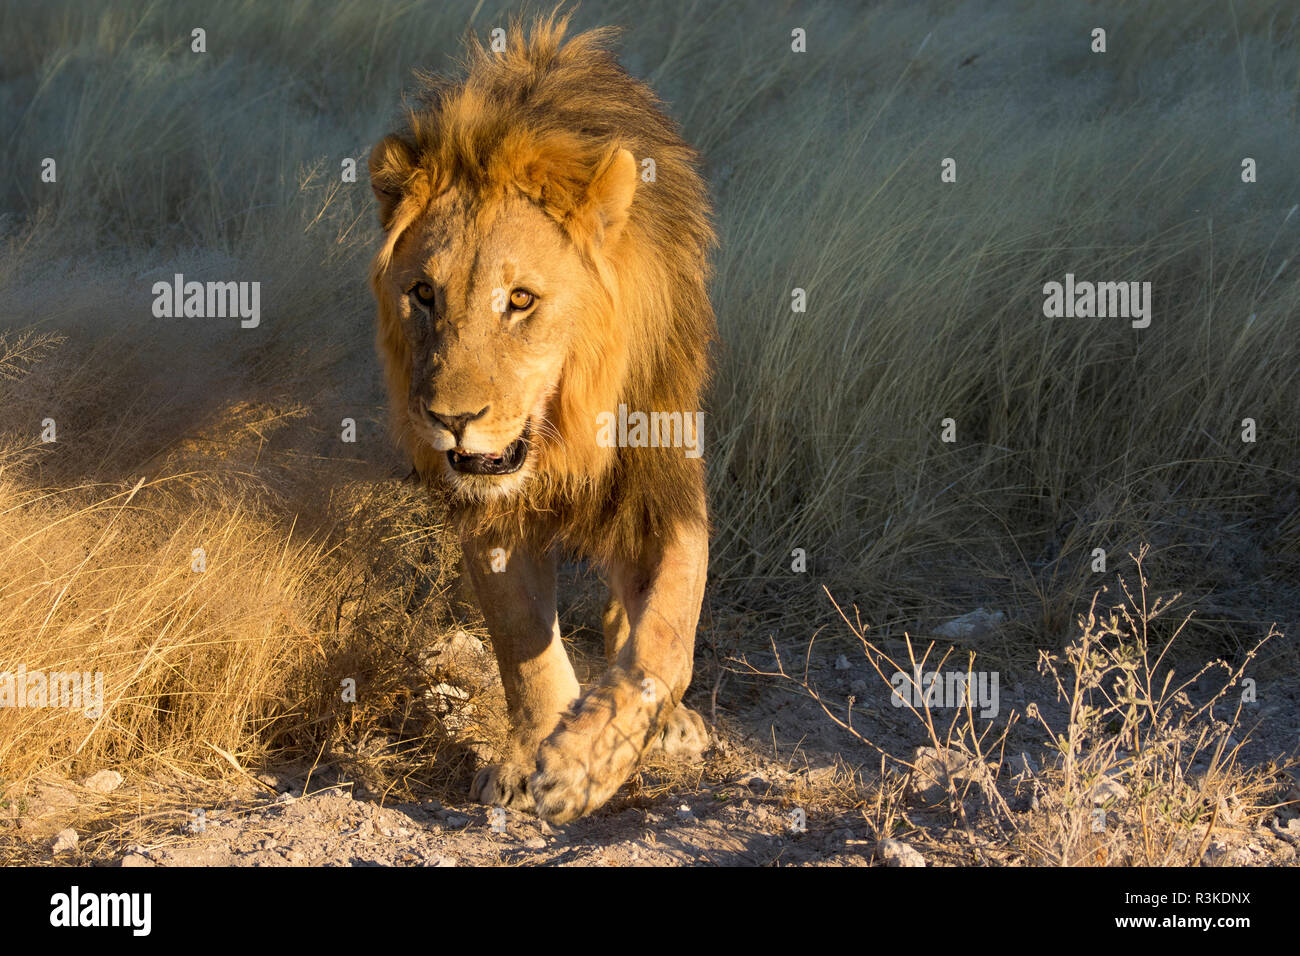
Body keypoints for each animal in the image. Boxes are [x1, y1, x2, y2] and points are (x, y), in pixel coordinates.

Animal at [367, 12, 716, 823]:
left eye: (520, 300)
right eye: (423, 294)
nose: (451, 418)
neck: (565, 434)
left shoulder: (663, 484)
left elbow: (664, 635)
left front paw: (586, 764)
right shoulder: (487, 512)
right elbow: (521, 640)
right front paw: (532, 759)